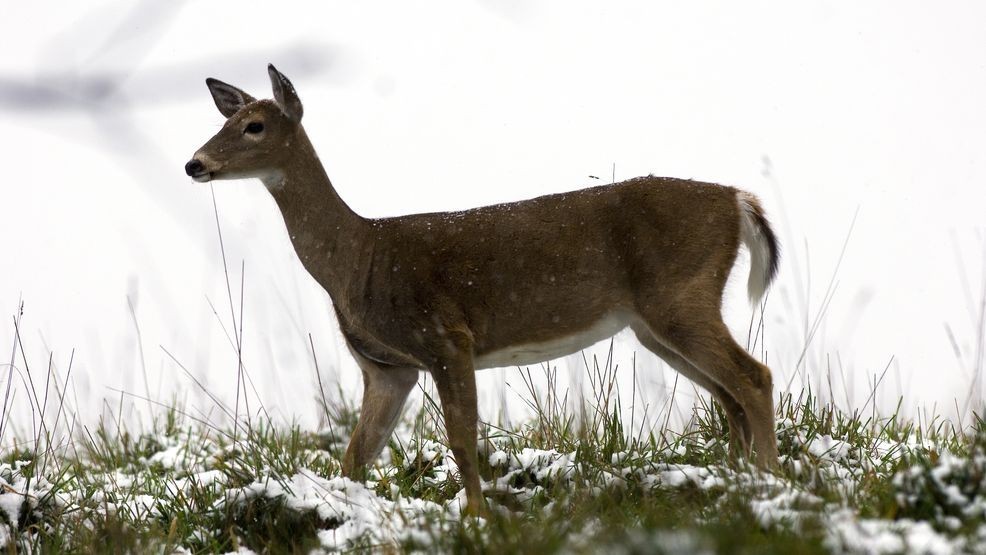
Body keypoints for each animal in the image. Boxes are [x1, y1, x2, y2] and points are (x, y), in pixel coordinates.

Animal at [185, 65, 781, 516]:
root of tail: (738, 201)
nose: (195, 163)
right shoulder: (388, 368)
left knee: (754, 377)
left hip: (678, 294)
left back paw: (772, 484)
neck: (358, 258)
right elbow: (356, 456)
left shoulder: (447, 337)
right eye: (226, 120)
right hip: (652, 322)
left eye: (255, 125)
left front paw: (475, 517)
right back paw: (737, 481)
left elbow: (461, 439)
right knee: (729, 394)